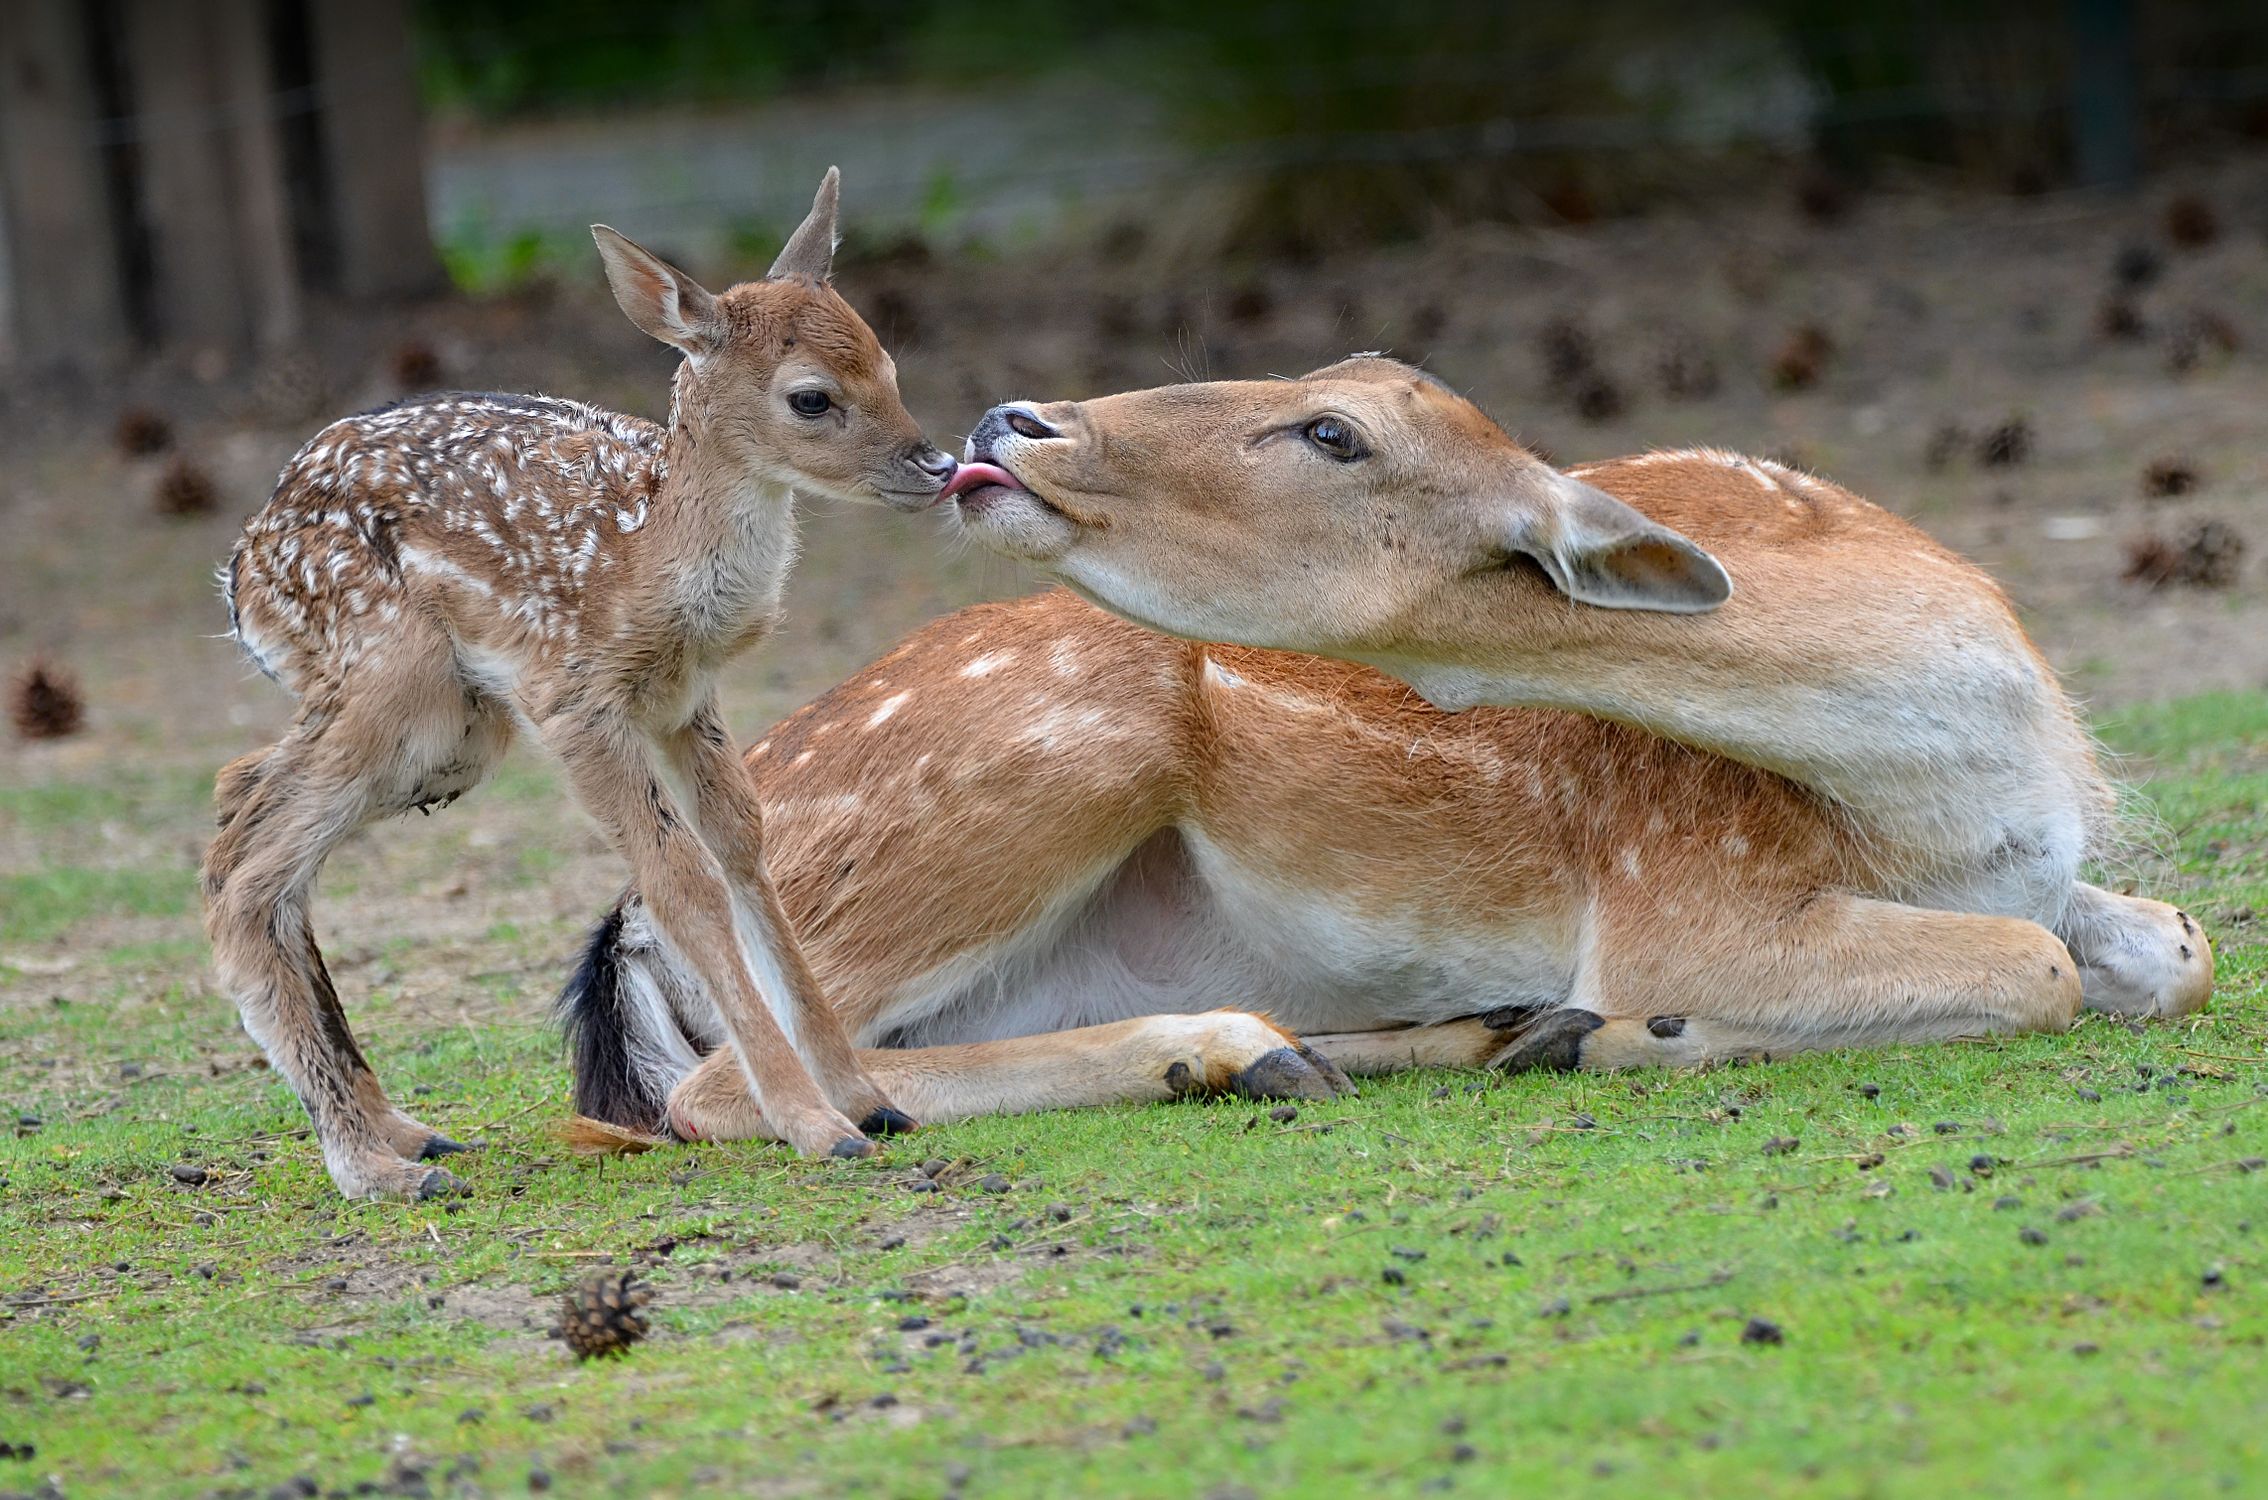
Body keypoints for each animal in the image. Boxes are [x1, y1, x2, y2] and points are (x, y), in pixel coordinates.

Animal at [203, 170, 956, 1199]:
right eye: (812, 398)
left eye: (888, 362)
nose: (938, 465)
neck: (648, 556)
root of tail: (243, 569)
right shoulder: (571, 700)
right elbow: (678, 881)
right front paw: (814, 1125)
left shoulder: (685, 701)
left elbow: (744, 852)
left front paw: (866, 1099)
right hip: (397, 679)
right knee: (249, 866)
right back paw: (373, 1169)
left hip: (448, 732)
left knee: (239, 799)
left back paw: (409, 1135)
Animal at [557, 354, 2212, 1149]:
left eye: (1334, 429)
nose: (1010, 420)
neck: (1960, 785)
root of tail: (626, 929)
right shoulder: (1683, 896)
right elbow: (2039, 972)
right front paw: (1639, 1030)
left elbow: (2176, 947)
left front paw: (1571, 1030)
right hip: (1048, 753)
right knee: (747, 1090)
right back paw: (1240, 1050)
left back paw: (1433, 1036)